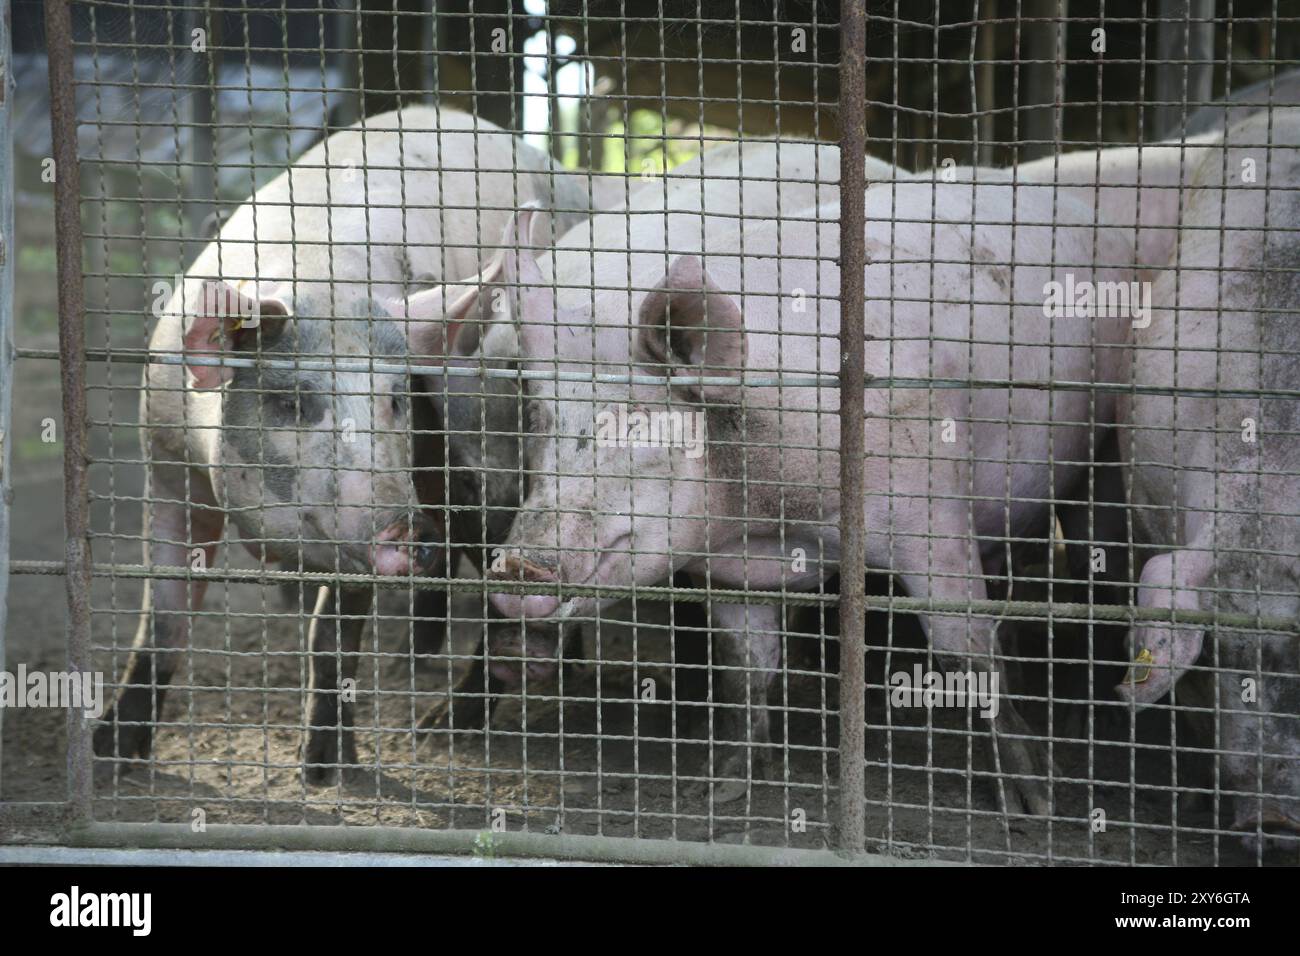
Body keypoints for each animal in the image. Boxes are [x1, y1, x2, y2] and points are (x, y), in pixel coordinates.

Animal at [93, 107, 600, 783]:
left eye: (398, 397)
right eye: (292, 402)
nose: (405, 528)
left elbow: (330, 636)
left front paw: (322, 772)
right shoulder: (169, 462)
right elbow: (166, 614)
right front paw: (109, 754)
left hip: (487, 444)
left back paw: (443, 727)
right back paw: (422, 665)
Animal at [474, 149, 1146, 811]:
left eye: (639, 423)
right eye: (540, 416)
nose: (516, 569)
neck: (772, 517)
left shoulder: (929, 506)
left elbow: (969, 648)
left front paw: (1033, 804)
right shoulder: (731, 570)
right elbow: (746, 667)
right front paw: (720, 788)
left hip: (1099, 451)